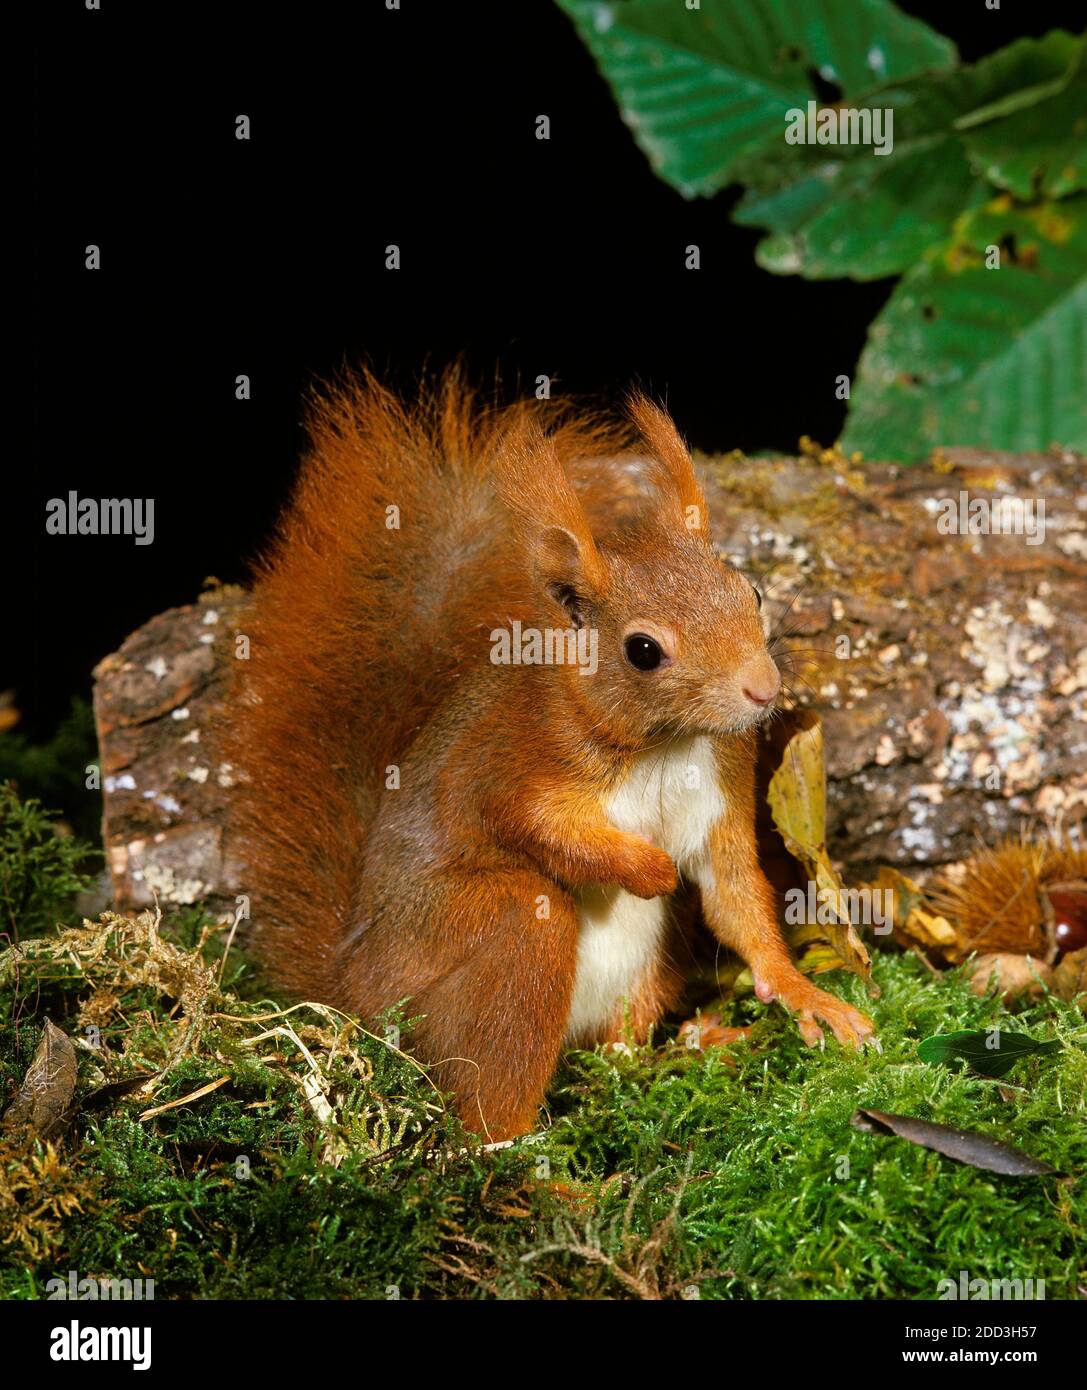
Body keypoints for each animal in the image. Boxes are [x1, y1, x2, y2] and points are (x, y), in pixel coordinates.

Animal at [226, 370, 875, 1141]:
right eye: (643, 650)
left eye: (749, 590)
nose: (762, 688)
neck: (662, 743)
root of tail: (350, 993)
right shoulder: (514, 766)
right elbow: (538, 828)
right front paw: (651, 870)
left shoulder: (723, 780)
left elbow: (735, 897)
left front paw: (806, 995)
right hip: (486, 939)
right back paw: (519, 1154)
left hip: (641, 977)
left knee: (620, 1048)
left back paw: (688, 1047)